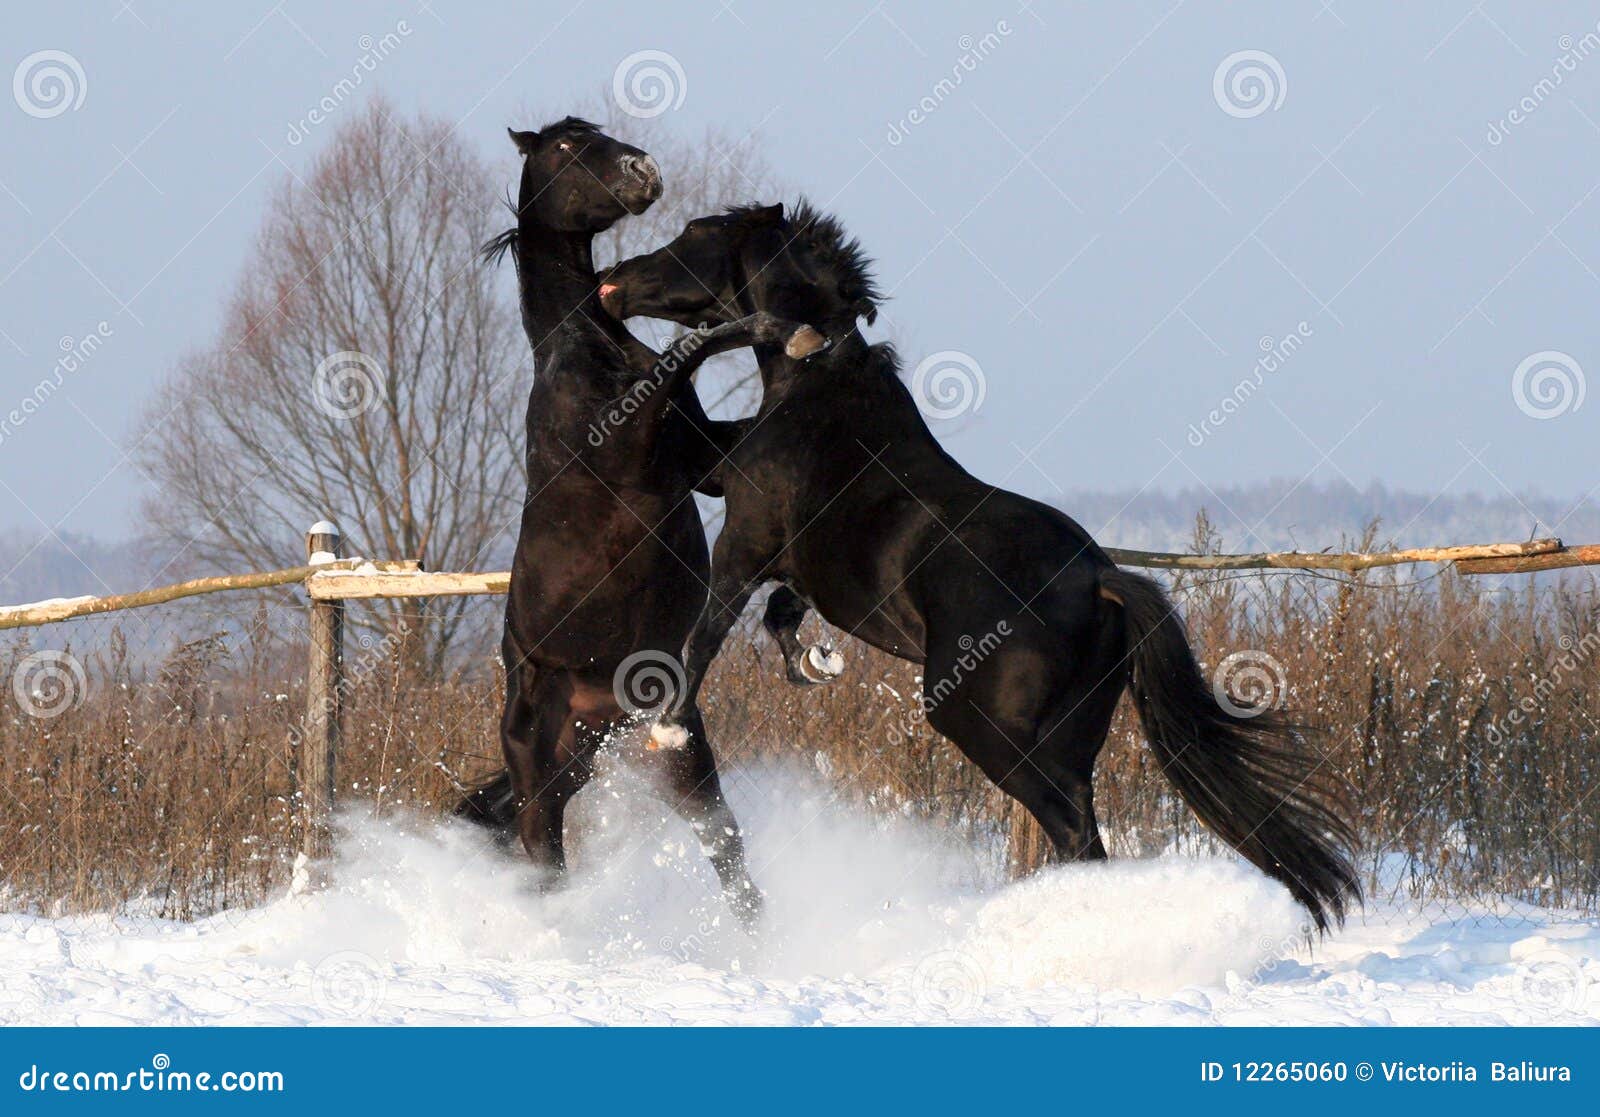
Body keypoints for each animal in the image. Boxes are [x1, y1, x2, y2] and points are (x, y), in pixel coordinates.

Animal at [456, 120, 824, 927]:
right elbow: (693, 346)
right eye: (566, 147)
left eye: (597, 130)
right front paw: (779, 327)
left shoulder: (700, 460)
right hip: (539, 786)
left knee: (730, 862)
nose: (643, 169)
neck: (586, 354)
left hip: (671, 761)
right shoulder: (632, 440)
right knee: (544, 866)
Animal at [598, 201, 1360, 931]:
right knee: (1078, 825)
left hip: (980, 725)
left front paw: (668, 726)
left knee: (1073, 830)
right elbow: (782, 615)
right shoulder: (771, 543)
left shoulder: (745, 541)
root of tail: (1100, 580)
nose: (613, 282)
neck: (816, 388)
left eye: (693, 236)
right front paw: (815, 664)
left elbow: (707, 633)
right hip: (1068, 739)